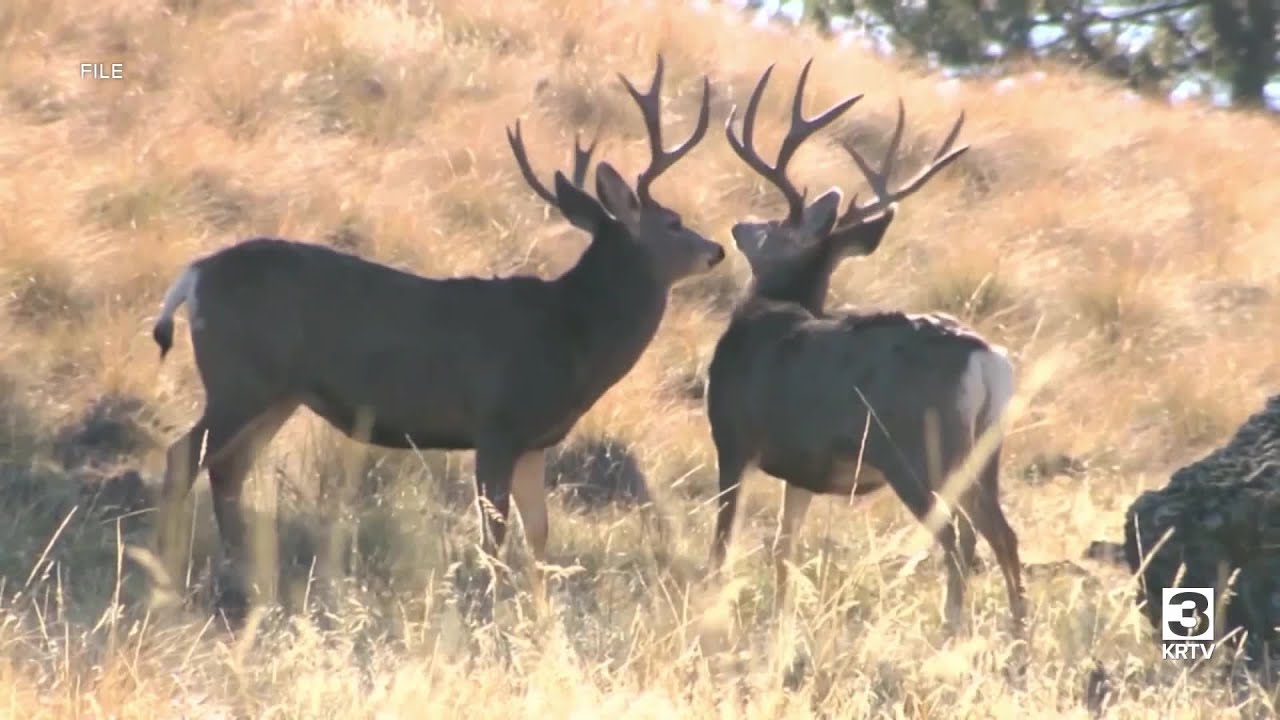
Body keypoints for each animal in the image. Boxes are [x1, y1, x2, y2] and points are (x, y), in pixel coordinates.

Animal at [149, 56, 724, 617]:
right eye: (674, 222)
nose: (716, 250)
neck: (572, 336)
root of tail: (195, 274)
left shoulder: (534, 442)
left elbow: (538, 534)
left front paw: (539, 614)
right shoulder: (496, 424)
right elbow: (494, 533)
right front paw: (489, 607)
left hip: (278, 393)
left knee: (227, 470)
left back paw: (244, 581)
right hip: (240, 378)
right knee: (182, 457)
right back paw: (171, 576)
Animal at [705, 60, 1025, 636]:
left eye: (778, 225)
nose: (740, 226)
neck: (765, 316)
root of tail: (984, 358)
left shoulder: (733, 437)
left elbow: (723, 543)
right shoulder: (802, 470)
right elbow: (783, 551)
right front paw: (779, 624)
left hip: (916, 450)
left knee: (958, 541)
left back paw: (953, 631)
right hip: (985, 452)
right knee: (1003, 537)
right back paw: (1017, 638)